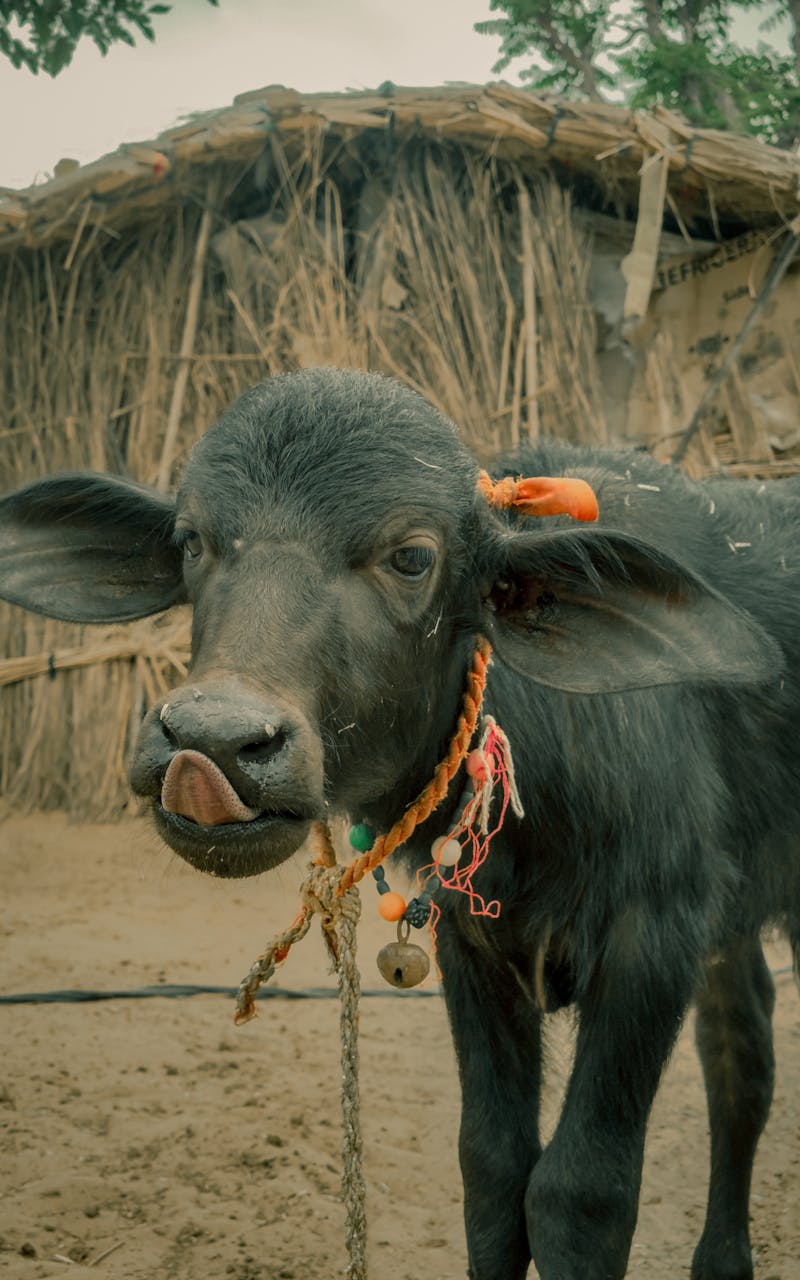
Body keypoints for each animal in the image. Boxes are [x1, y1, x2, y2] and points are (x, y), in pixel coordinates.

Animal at [1, 367, 798, 1280]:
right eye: (193, 540)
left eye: (411, 557)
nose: (213, 741)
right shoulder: (473, 944)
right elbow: (493, 1170)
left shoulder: (654, 932)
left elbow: (582, 1191)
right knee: (742, 1051)